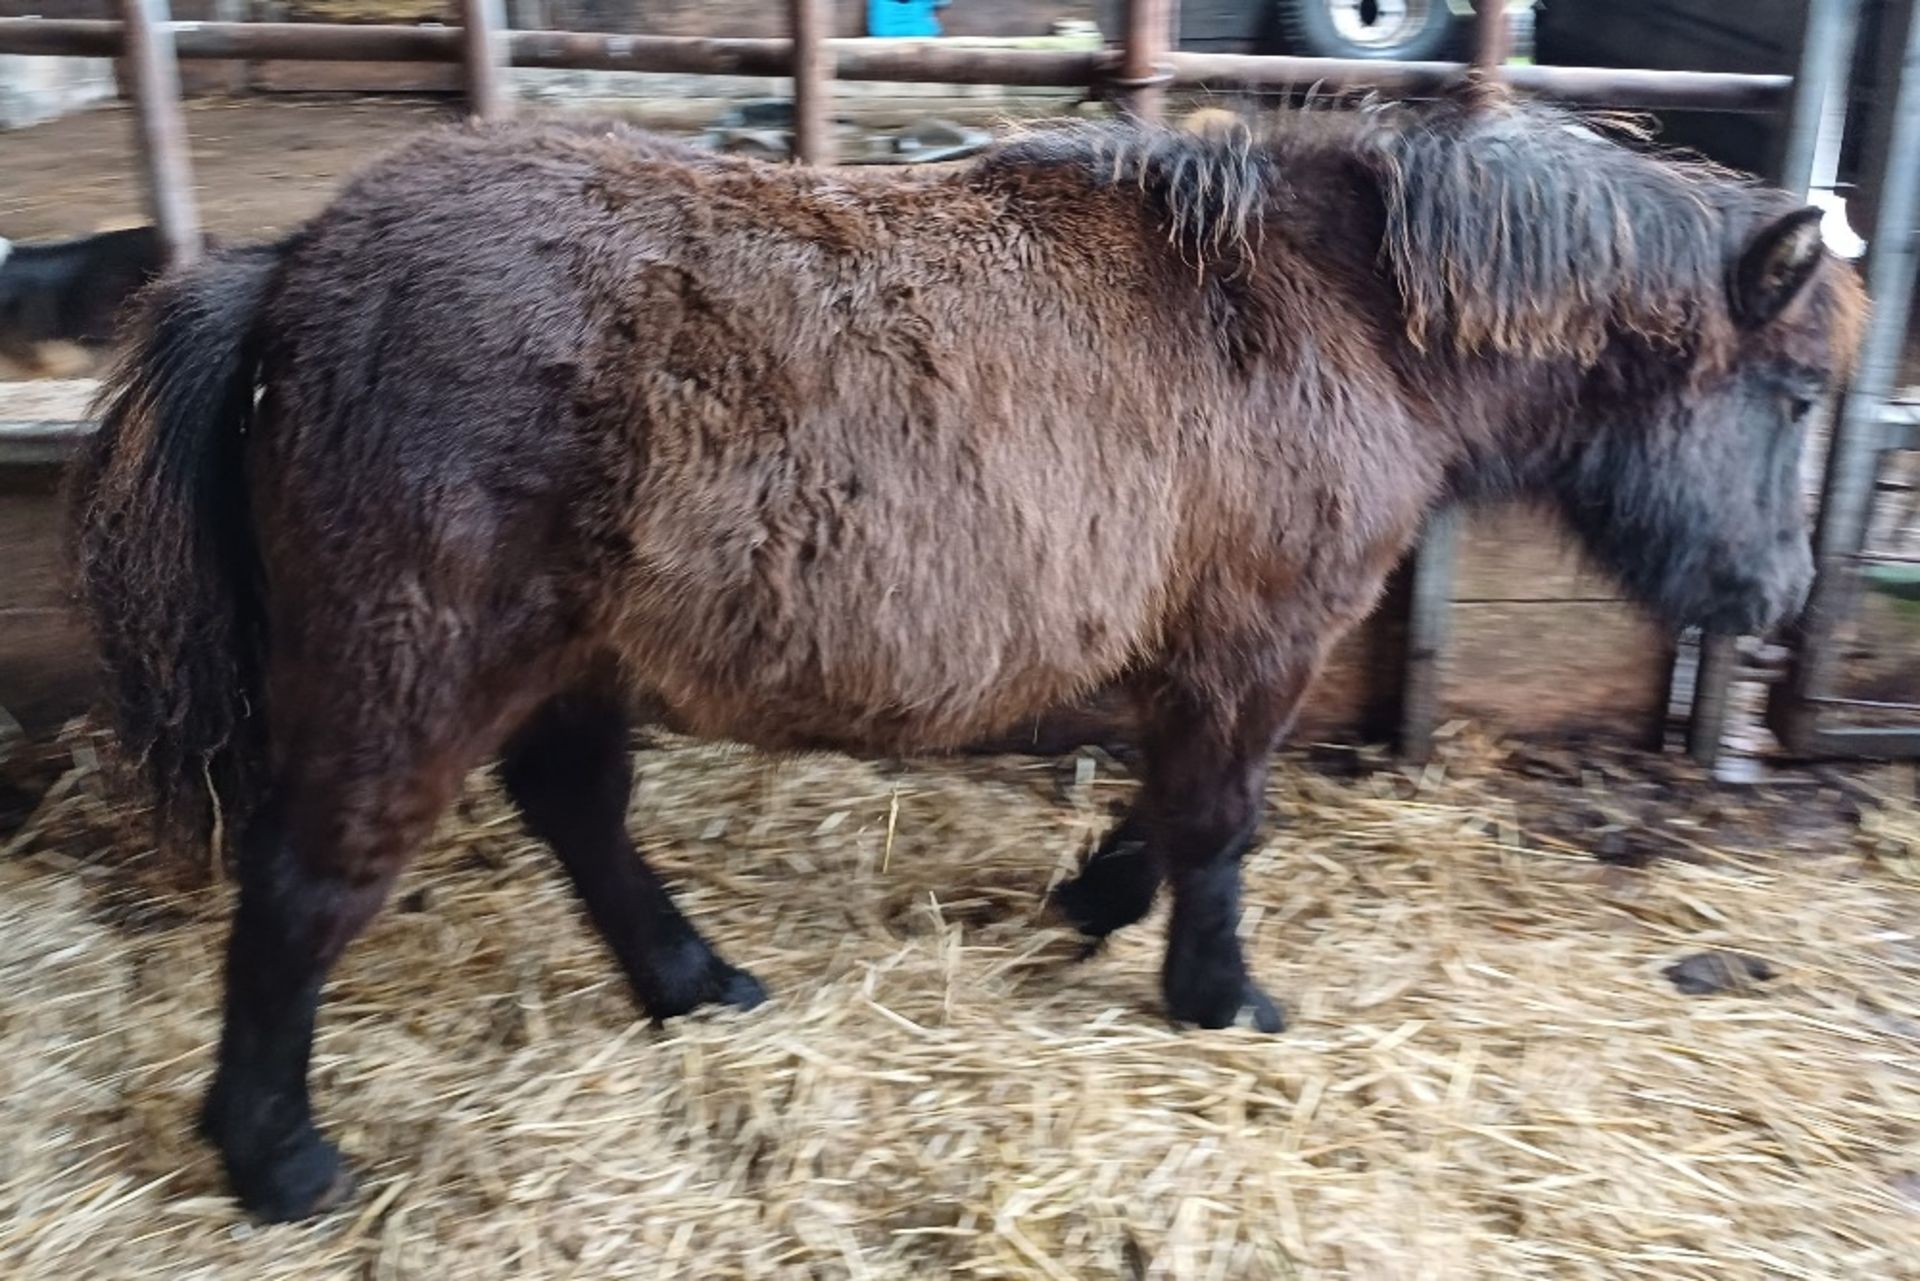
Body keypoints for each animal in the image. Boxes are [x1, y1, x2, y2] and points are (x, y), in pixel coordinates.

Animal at [71, 97, 1864, 1220]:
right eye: (1790, 393)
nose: (1774, 592)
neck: (1339, 312)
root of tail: (294, 272)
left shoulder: (1209, 651)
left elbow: (1182, 806)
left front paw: (1101, 898)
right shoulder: (1261, 635)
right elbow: (1225, 822)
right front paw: (1219, 996)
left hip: (559, 658)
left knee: (577, 811)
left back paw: (695, 981)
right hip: (417, 672)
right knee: (305, 894)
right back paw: (278, 1160)